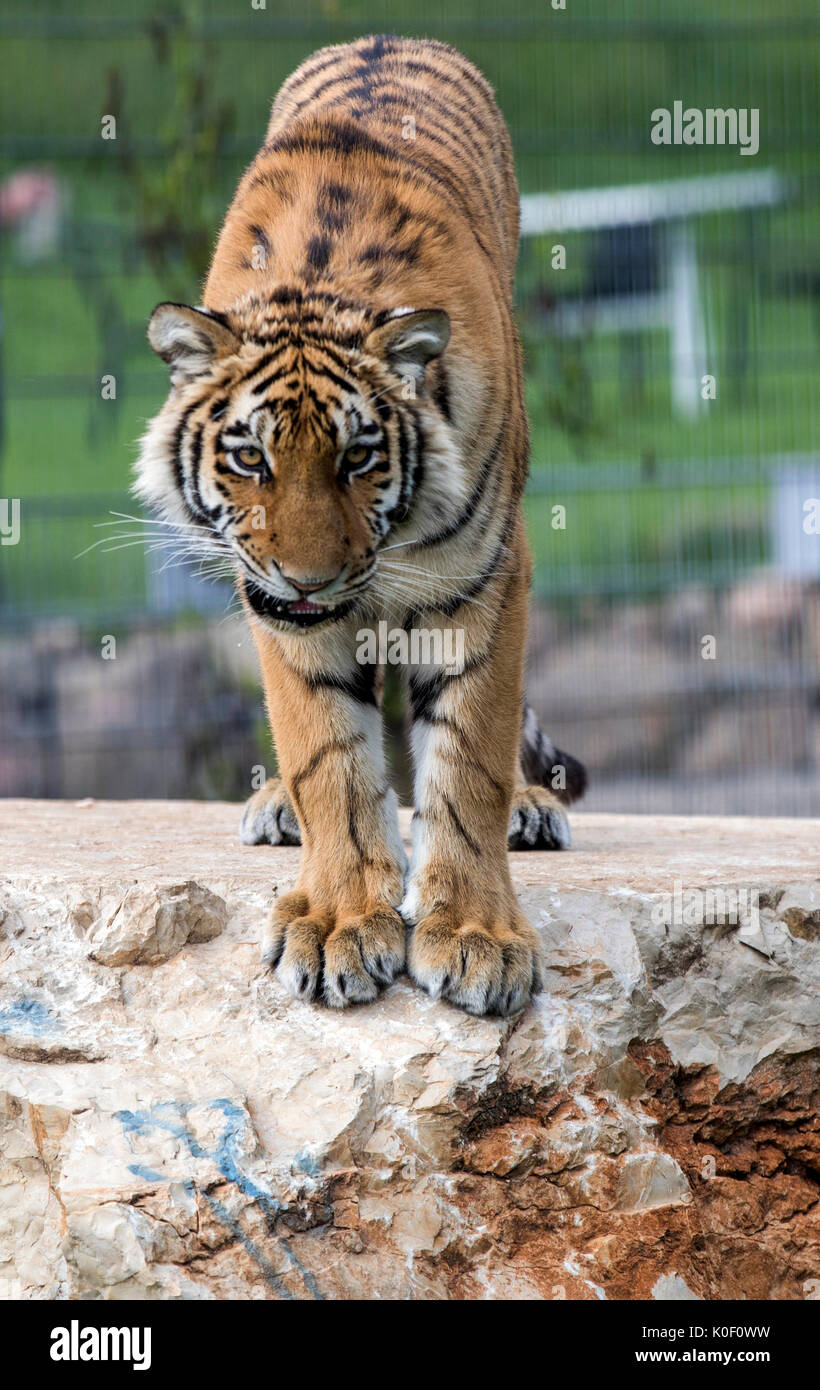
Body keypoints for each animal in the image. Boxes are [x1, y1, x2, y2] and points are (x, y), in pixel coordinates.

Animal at [135, 34, 586, 1017]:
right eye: (250, 458)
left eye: (358, 457)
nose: (307, 580)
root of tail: (392, 38)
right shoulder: (279, 612)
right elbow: (328, 758)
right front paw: (340, 923)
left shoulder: (482, 575)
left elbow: (469, 759)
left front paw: (476, 937)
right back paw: (276, 808)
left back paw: (532, 807)